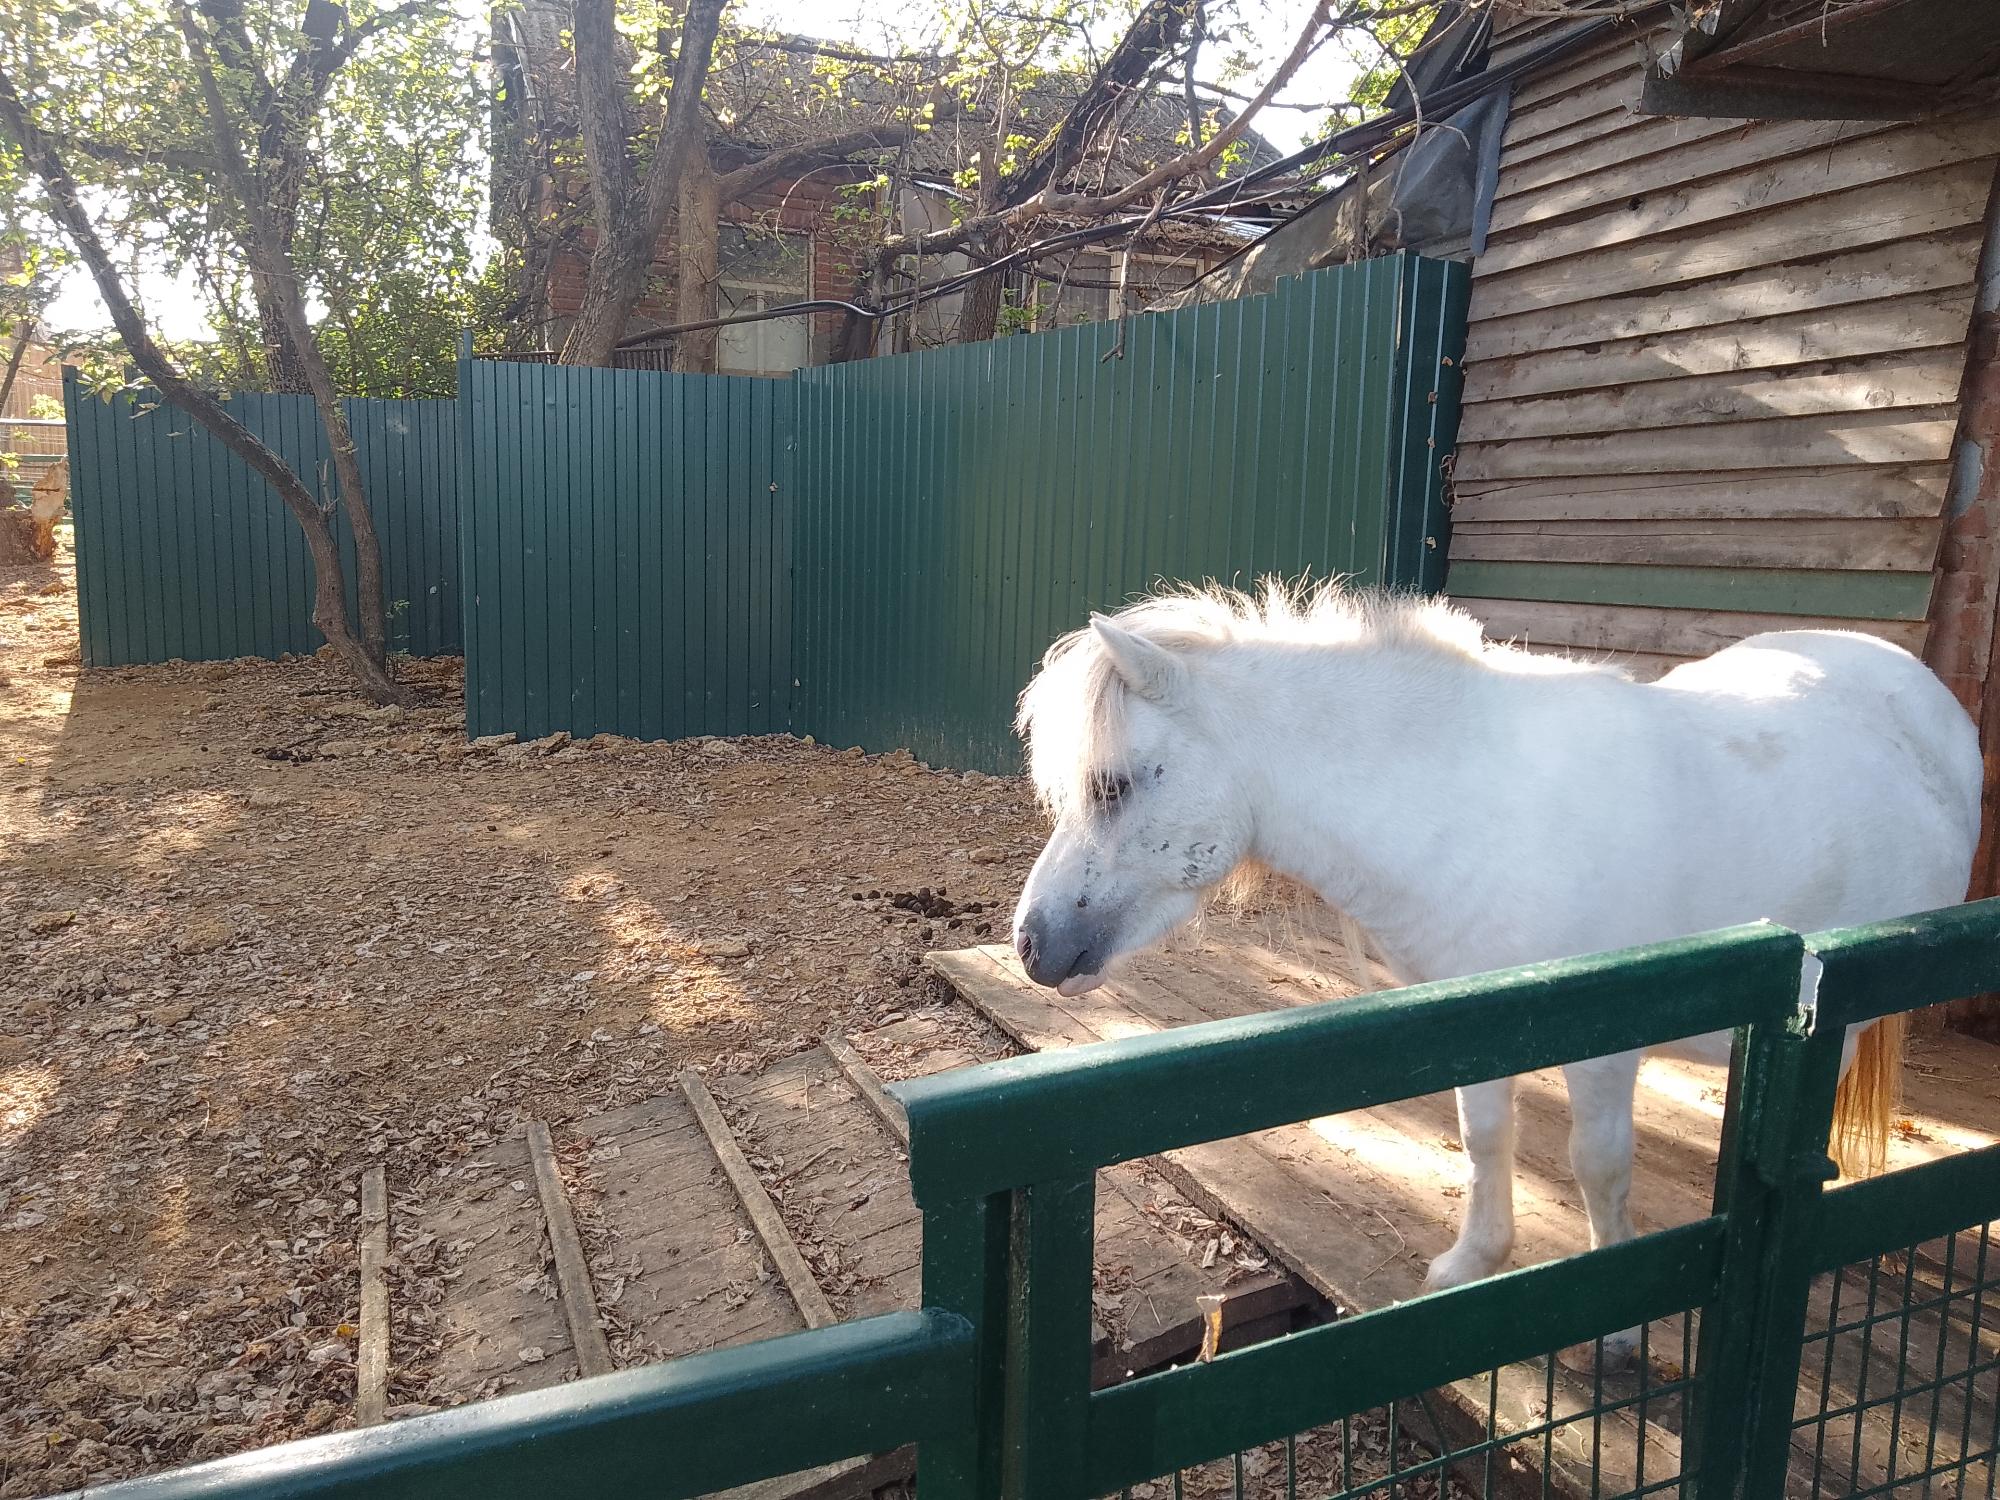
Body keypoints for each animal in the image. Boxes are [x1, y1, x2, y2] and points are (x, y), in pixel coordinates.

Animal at [1008, 580, 1976, 1312]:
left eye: (1111, 784)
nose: (1031, 943)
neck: (1468, 799)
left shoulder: (1607, 1047)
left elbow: (1598, 1167)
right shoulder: (1481, 1022)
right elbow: (1484, 1142)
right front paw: (1473, 1263)